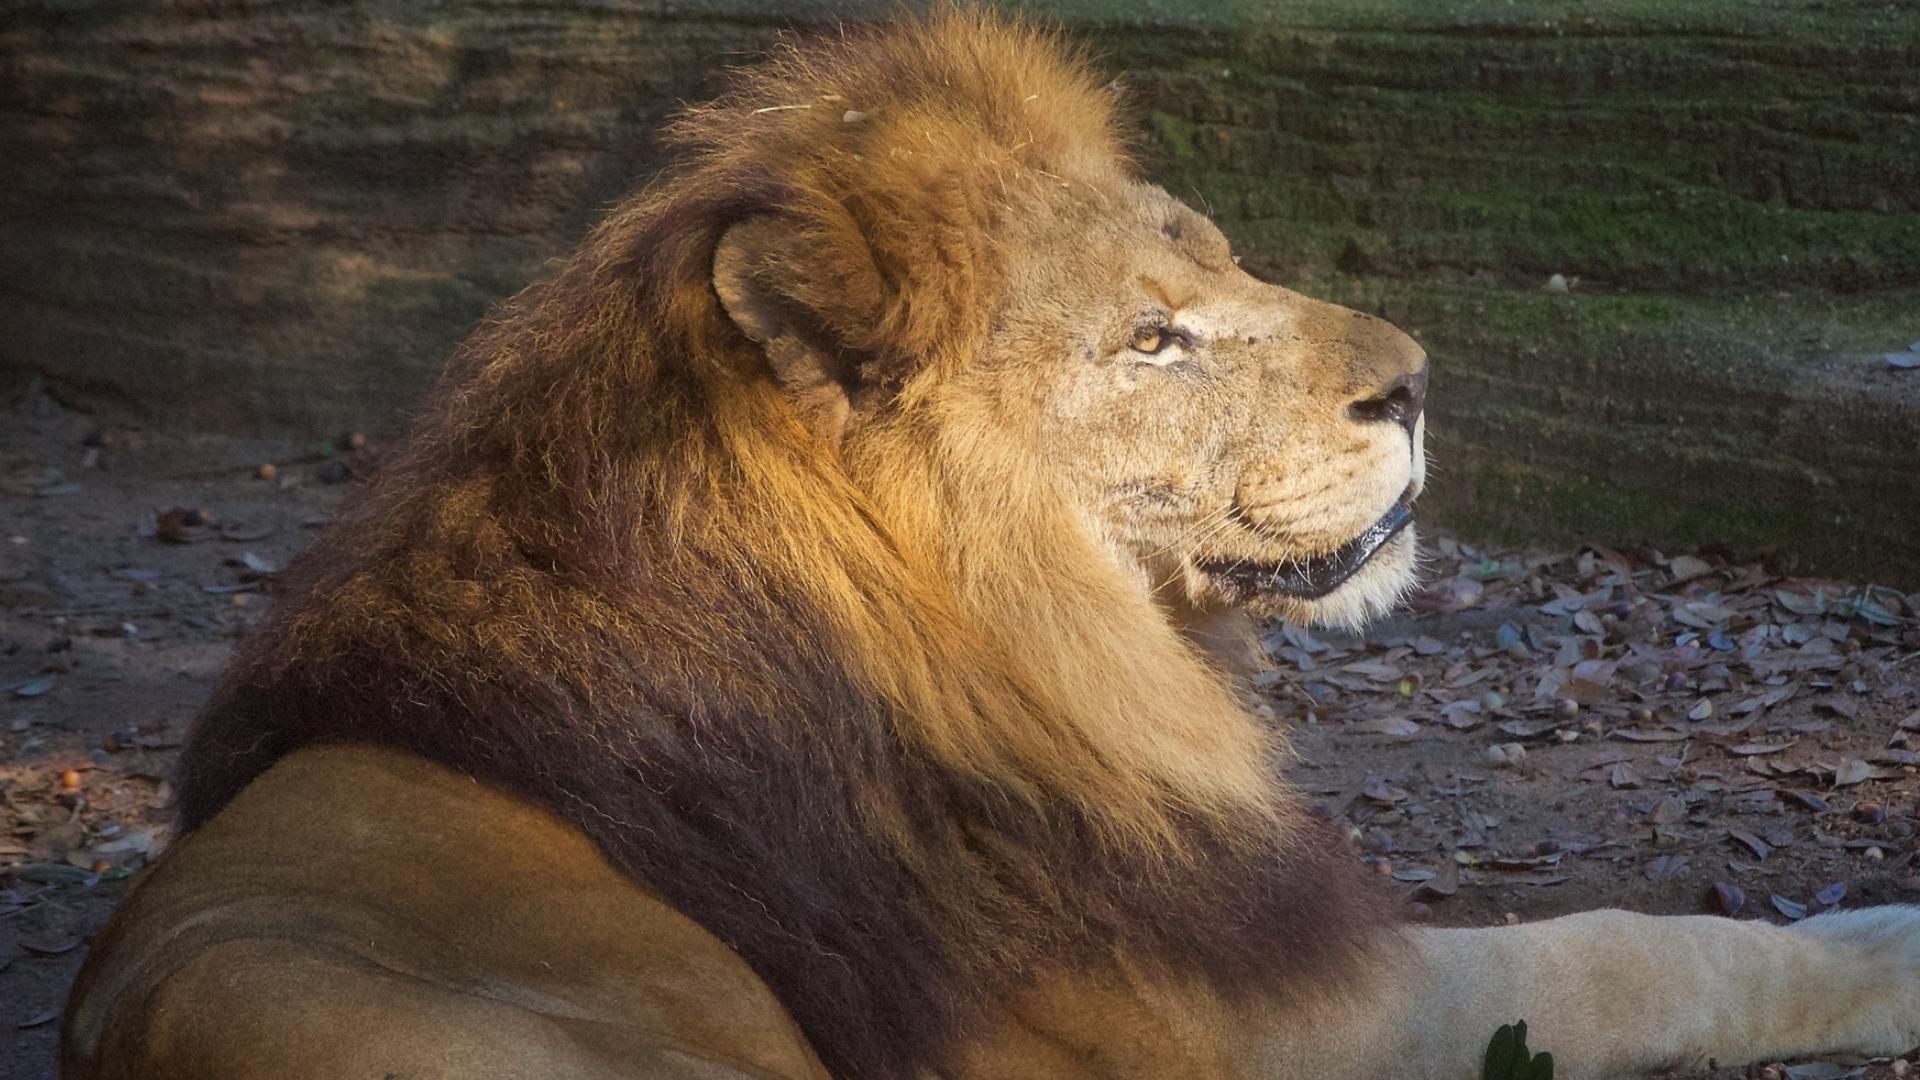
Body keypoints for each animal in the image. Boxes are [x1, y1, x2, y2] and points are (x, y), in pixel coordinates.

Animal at [61, 11, 1920, 1080]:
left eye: (1221, 257)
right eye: (1148, 340)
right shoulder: (1280, 1023)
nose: (1417, 382)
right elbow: (1634, 952)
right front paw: (1886, 944)